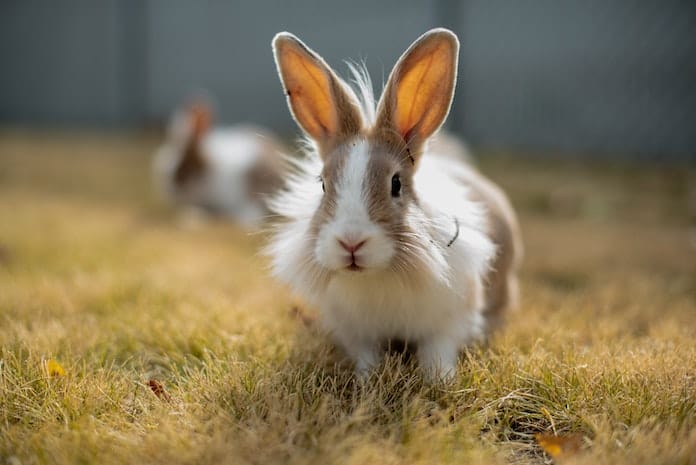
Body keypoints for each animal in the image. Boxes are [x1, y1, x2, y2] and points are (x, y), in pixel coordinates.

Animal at [266, 28, 522, 381]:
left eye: (396, 184)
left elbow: (437, 351)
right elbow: (367, 357)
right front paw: (367, 380)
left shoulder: (452, 321)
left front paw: (440, 381)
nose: (351, 242)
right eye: (323, 184)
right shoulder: (355, 333)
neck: (377, 275)